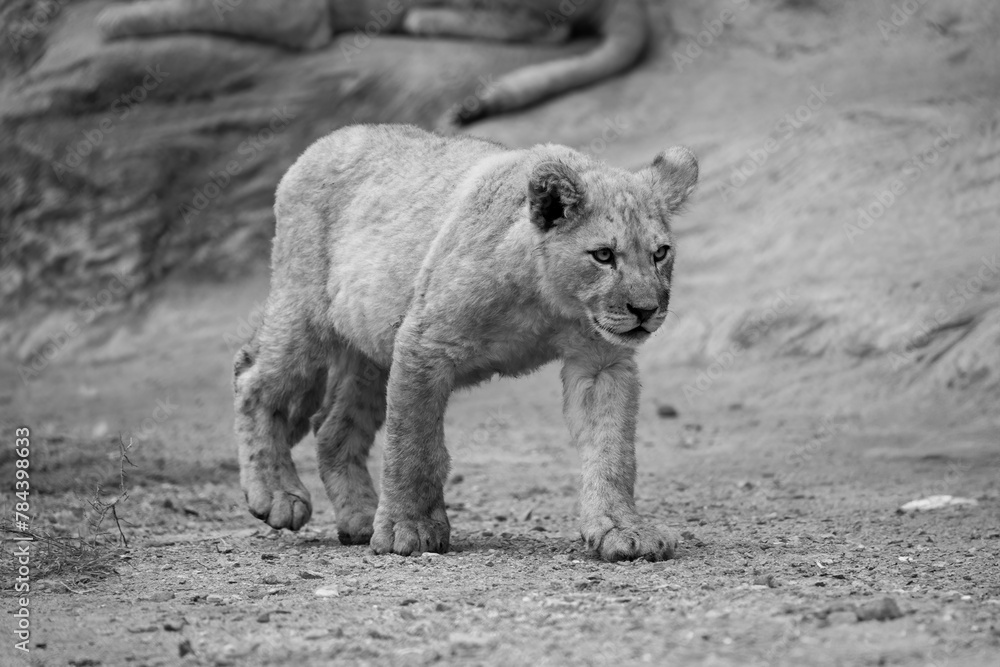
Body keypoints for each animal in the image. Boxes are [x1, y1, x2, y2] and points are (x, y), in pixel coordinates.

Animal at [233, 123, 698, 561]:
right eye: (603, 255)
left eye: (659, 253)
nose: (645, 309)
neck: (548, 303)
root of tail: (325, 142)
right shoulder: (424, 341)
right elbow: (414, 444)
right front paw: (409, 529)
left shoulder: (601, 361)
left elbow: (612, 449)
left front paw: (621, 529)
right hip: (305, 315)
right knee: (252, 377)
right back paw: (276, 495)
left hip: (371, 352)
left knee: (331, 428)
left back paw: (361, 518)